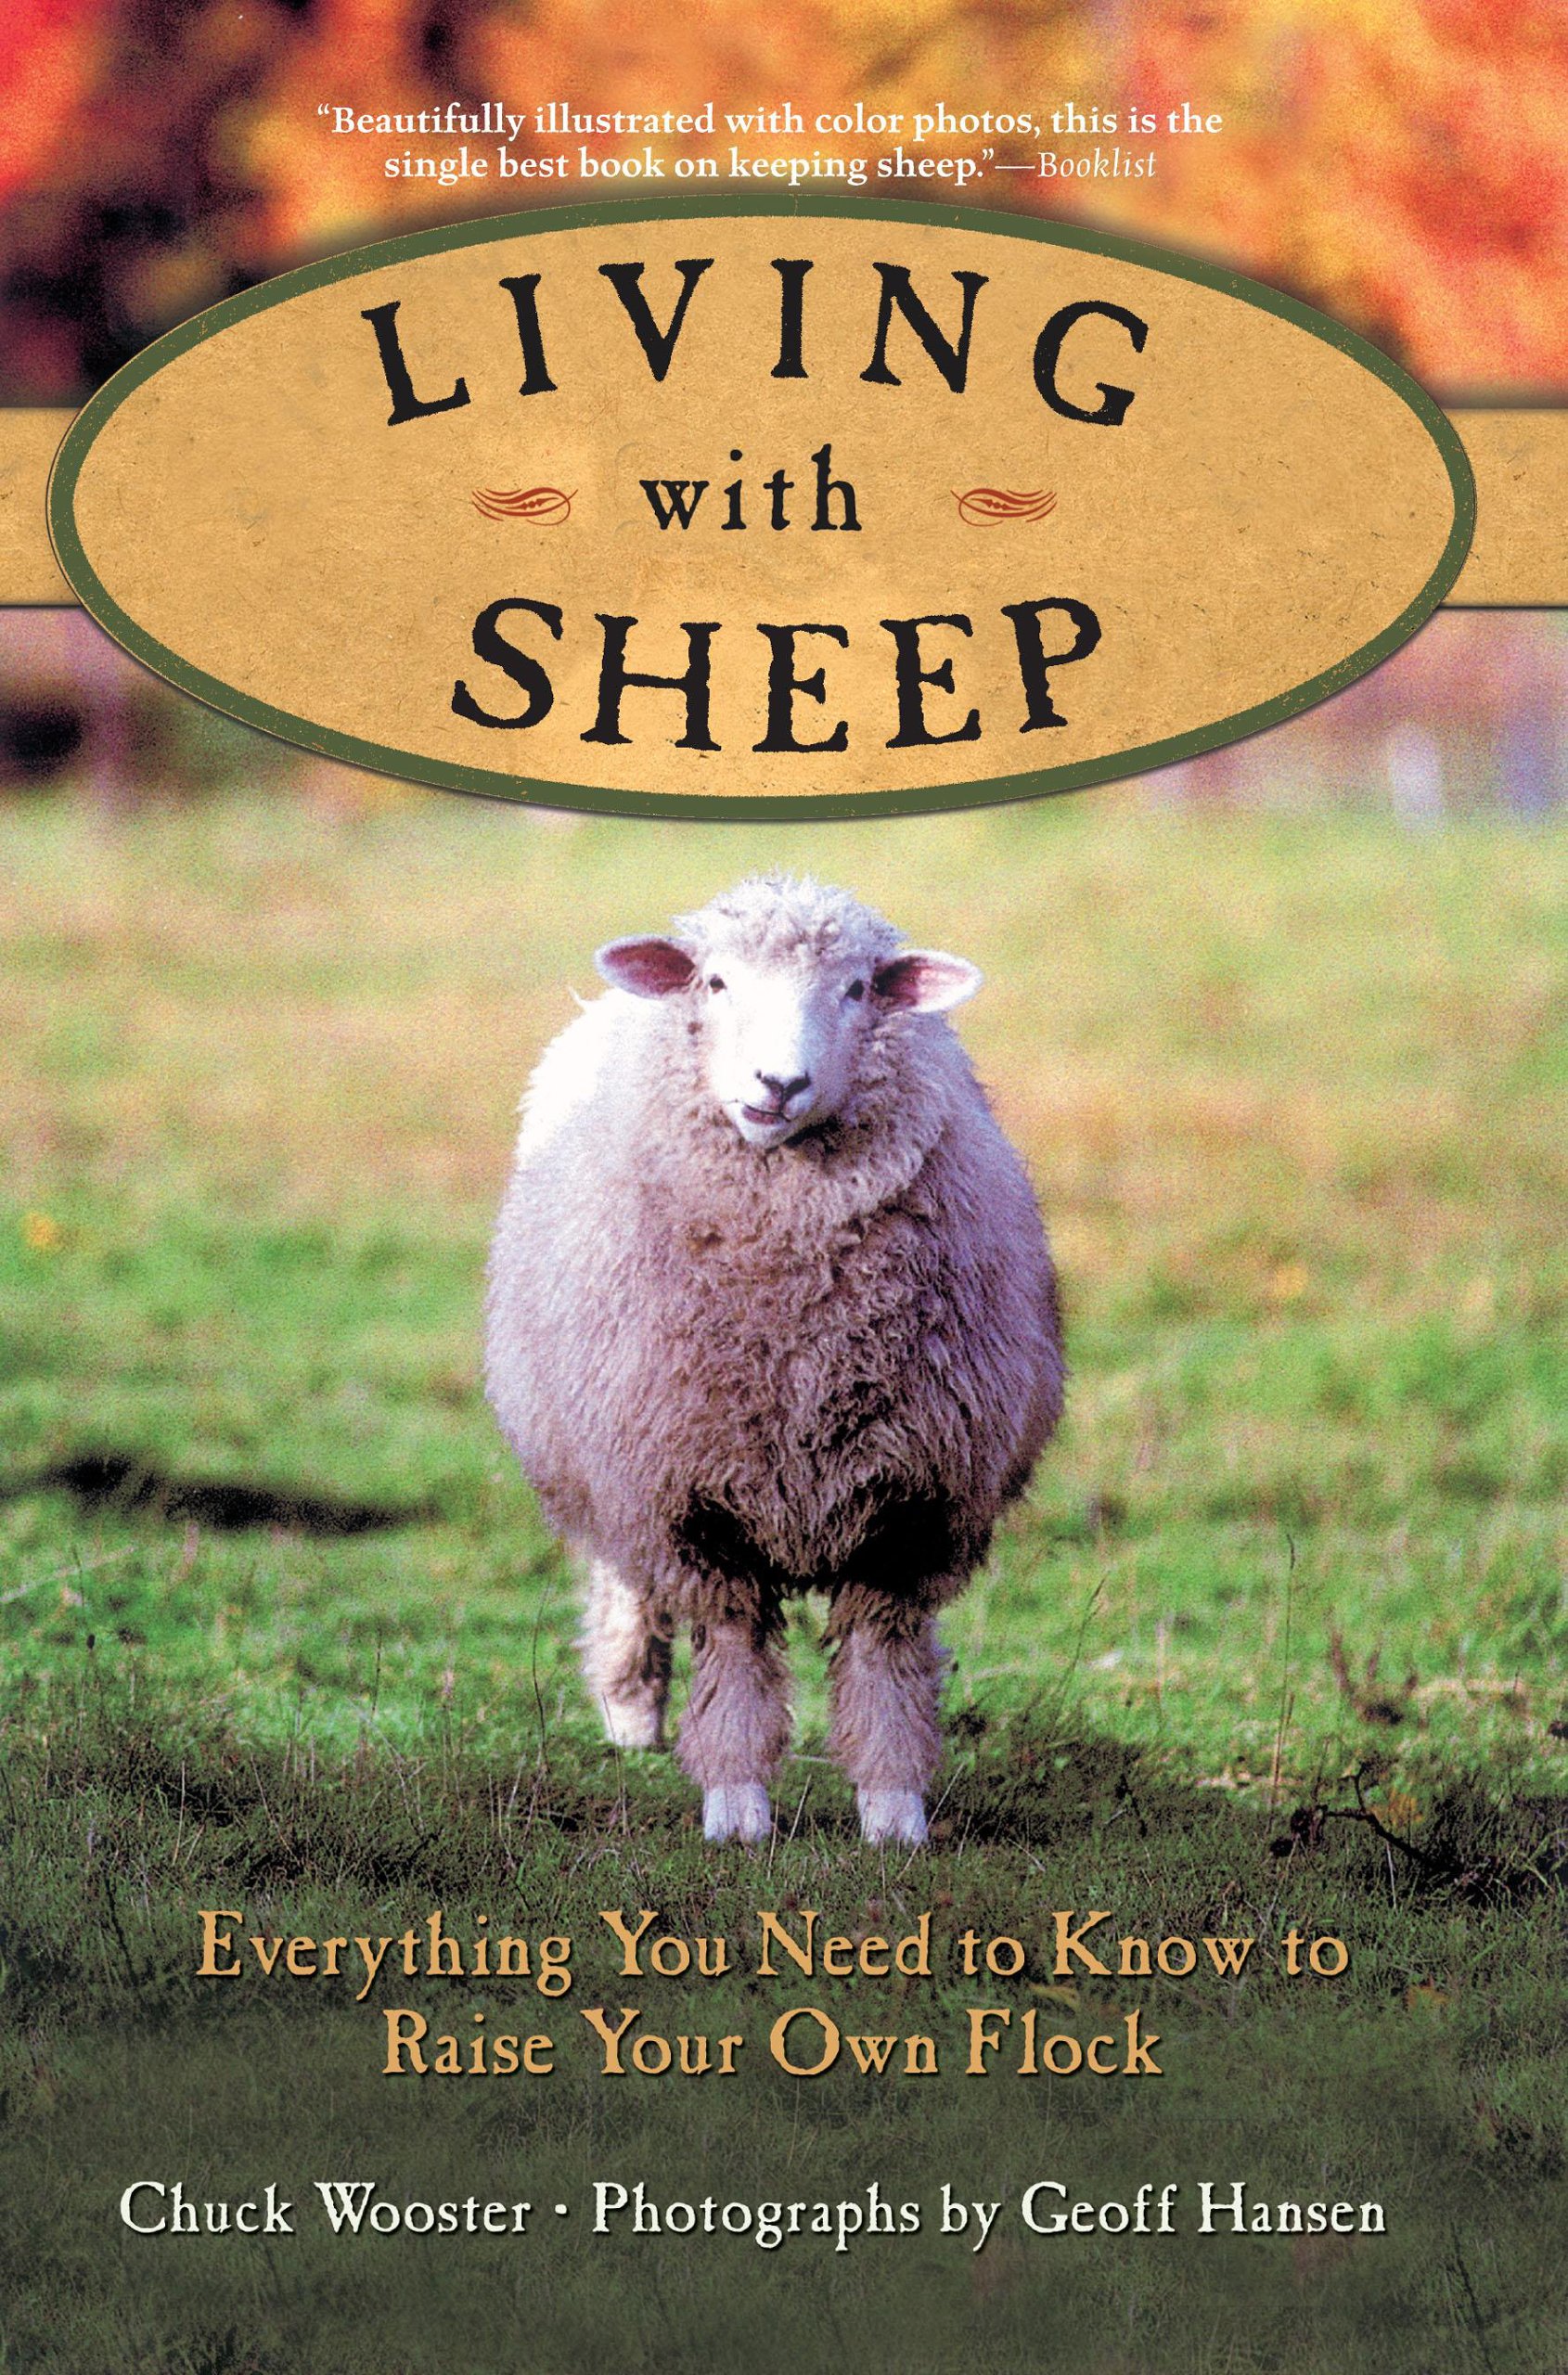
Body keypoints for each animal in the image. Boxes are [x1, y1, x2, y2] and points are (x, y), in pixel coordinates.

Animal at [484, 874, 1063, 1846]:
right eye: (715, 983)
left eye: (859, 989)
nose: (778, 1084)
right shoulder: (693, 1503)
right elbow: (735, 1661)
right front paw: (736, 1807)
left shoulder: (910, 1507)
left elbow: (882, 1666)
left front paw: (893, 1813)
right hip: (602, 1453)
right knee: (622, 1584)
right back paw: (631, 1710)